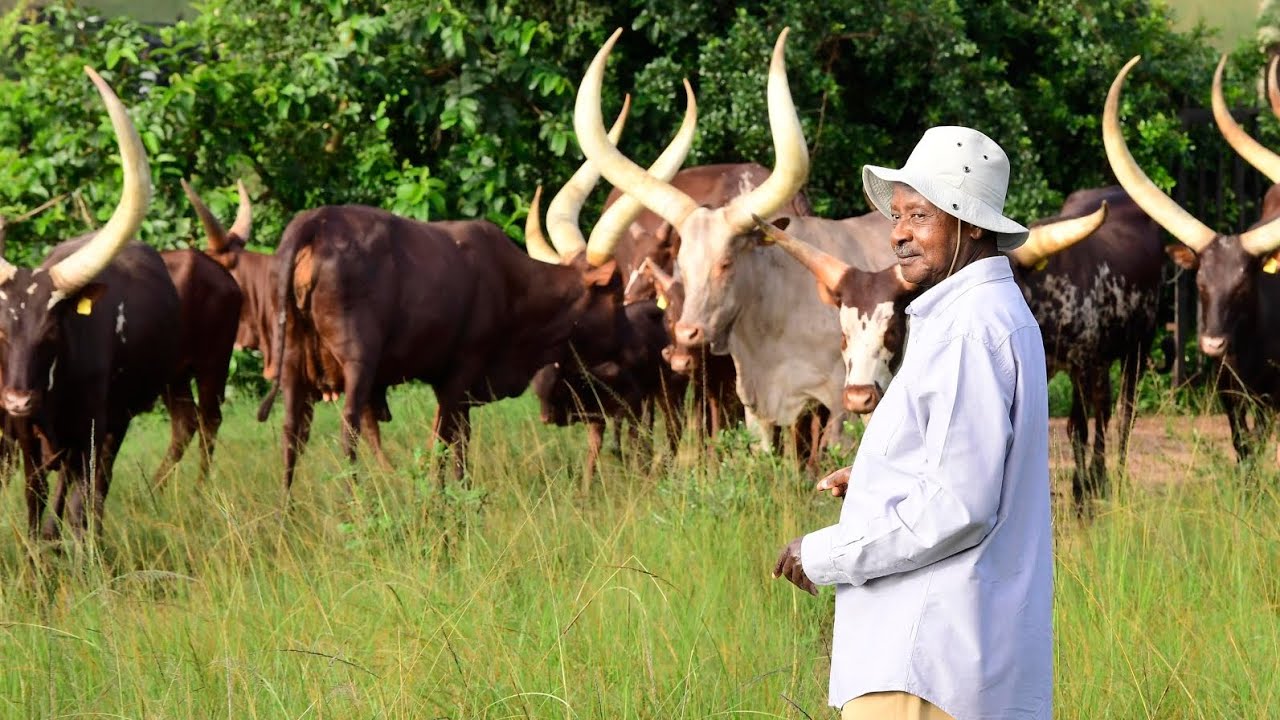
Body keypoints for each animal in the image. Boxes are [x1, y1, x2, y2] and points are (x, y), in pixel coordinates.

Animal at [0, 67, 181, 541]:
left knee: (95, 491)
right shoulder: (25, 440)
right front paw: (39, 552)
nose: (17, 400)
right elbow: (33, 501)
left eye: (51, 330)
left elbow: (84, 502)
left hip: (117, 422)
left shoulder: (95, 432)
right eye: (1, 331)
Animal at [255, 84, 697, 491]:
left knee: (292, 433)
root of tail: (314, 225)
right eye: (614, 291)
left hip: (294, 360)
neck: (514, 285)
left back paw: (287, 513)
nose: (641, 341)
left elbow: (459, 443)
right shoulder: (459, 373)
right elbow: (443, 442)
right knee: (348, 430)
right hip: (357, 363)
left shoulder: (459, 386)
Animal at [1105, 55, 1280, 465]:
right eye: (1201, 283)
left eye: (1244, 285)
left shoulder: (1272, 397)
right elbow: (1243, 447)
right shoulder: (1229, 393)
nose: (1213, 344)